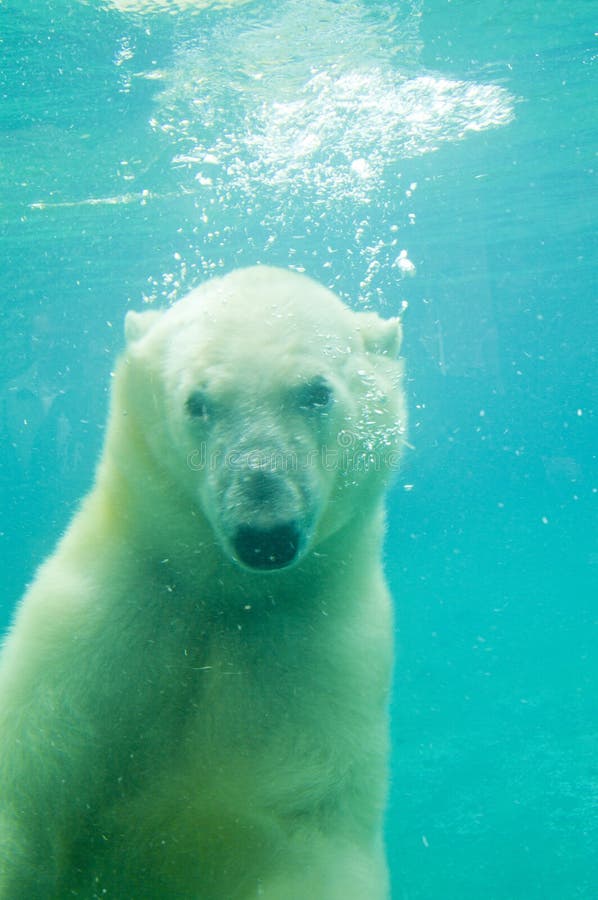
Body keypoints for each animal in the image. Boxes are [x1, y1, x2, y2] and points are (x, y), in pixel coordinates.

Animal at [0, 266, 406, 899]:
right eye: (198, 402)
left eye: (316, 392)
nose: (264, 532)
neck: (224, 594)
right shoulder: (90, 632)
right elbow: (28, 799)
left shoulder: (317, 657)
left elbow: (308, 834)